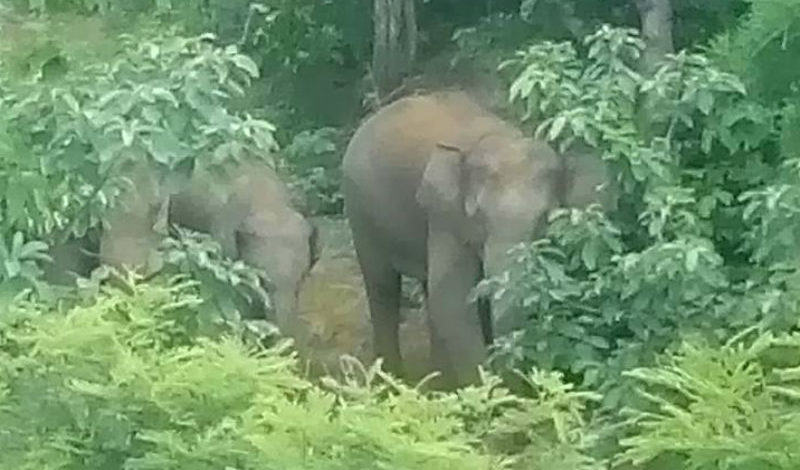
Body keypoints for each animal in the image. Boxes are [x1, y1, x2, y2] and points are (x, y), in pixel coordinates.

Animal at [341, 91, 615, 389]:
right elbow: (452, 298)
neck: (503, 138)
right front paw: (486, 391)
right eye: (480, 217)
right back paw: (388, 381)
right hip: (360, 210)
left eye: (544, 218)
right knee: (383, 286)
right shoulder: (445, 217)